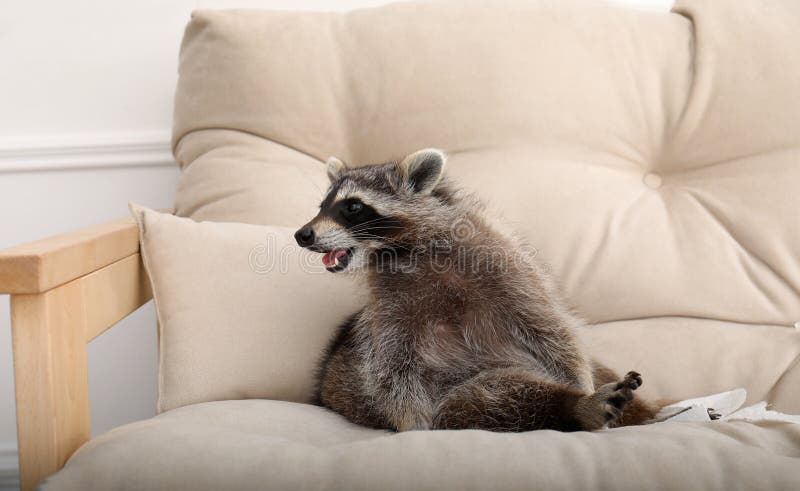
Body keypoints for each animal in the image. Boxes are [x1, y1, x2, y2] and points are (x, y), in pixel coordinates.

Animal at [295, 149, 660, 432]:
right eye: (322, 206)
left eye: (352, 207)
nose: (302, 234)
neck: (402, 251)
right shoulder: (389, 306)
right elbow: (393, 365)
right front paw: (412, 423)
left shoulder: (501, 263)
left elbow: (549, 326)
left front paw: (579, 381)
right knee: (485, 399)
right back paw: (575, 407)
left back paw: (603, 403)